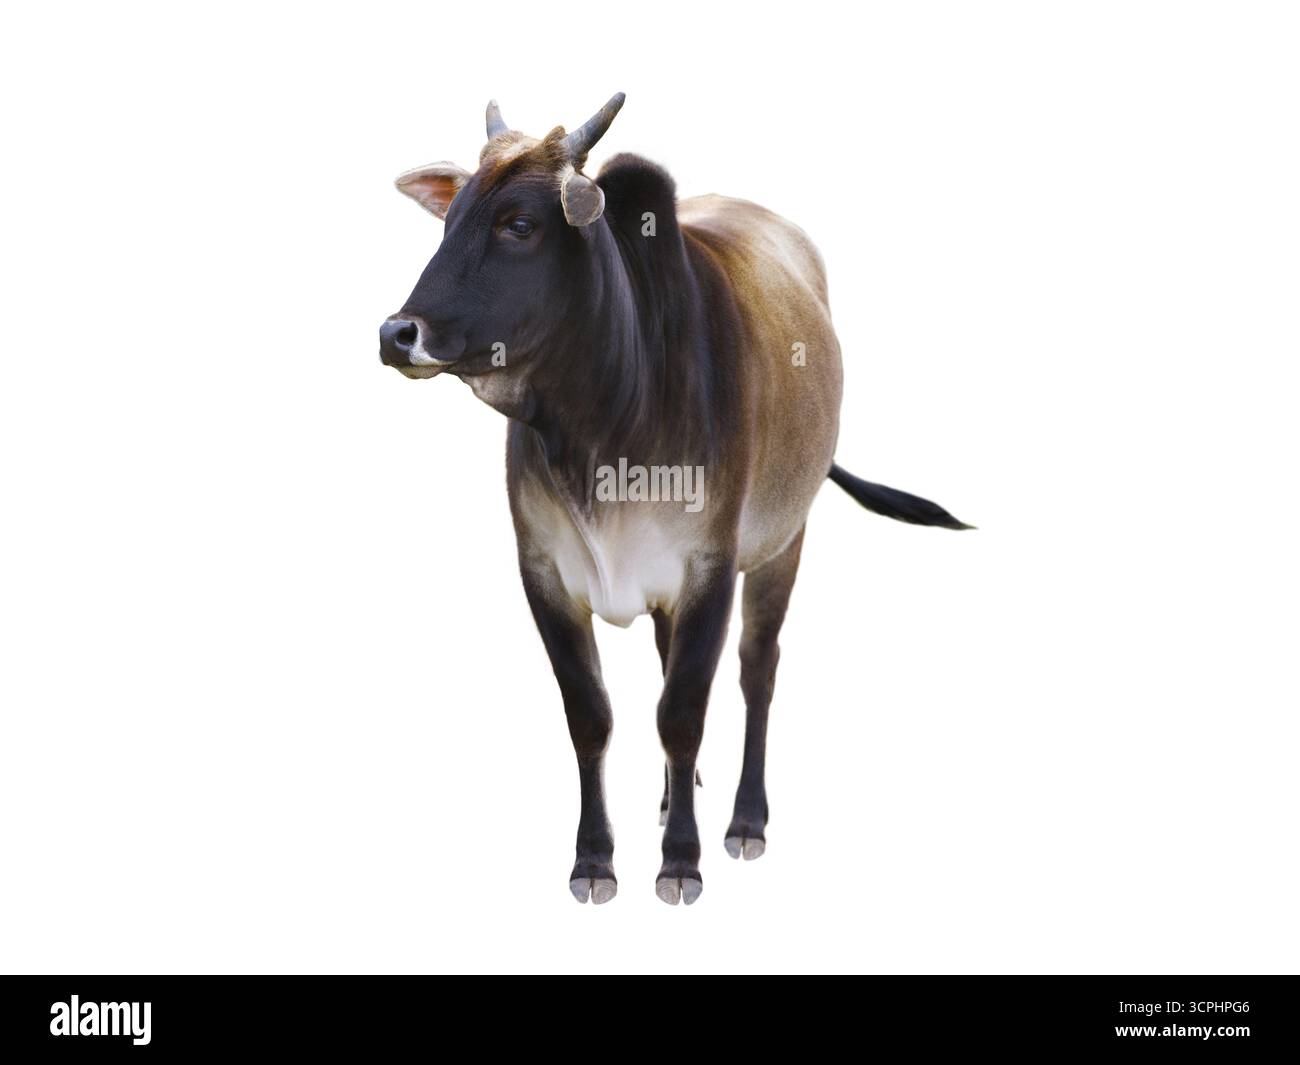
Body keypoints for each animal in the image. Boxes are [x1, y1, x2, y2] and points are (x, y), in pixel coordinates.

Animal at [380, 94, 970, 905]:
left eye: (519, 224)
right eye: (449, 219)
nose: (397, 333)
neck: (602, 427)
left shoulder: (709, 568)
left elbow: (685, 710)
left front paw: (682, 858)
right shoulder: (545, 573)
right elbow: (592, 716)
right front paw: (595, 858)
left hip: (783, 544)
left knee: (757, 672)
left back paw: (745, 817)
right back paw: (670, 796)